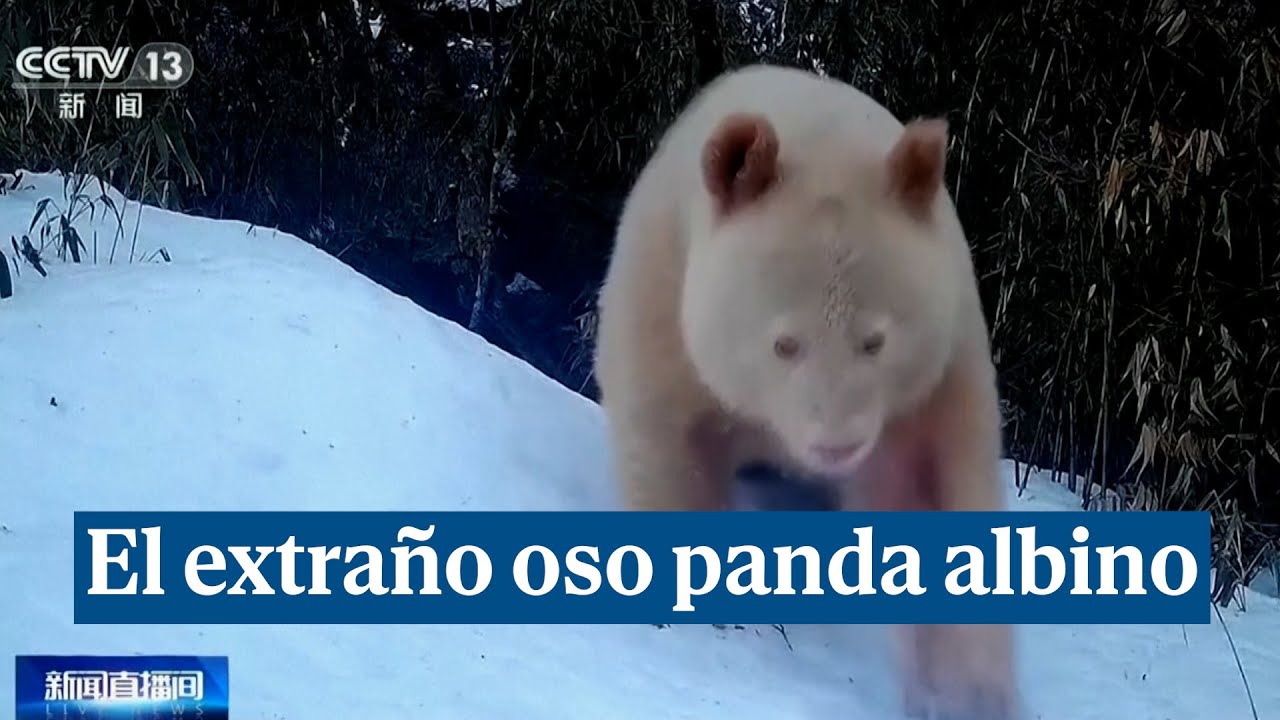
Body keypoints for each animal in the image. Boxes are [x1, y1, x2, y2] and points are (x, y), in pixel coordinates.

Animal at [592, 64, 1018, 720]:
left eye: (875, 341)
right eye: (783, 344)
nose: (835, 446)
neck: (820, 137)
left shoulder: (937, 371)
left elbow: (936, 494)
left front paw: (968, 694)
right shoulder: (666, 302)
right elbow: (672, 450)